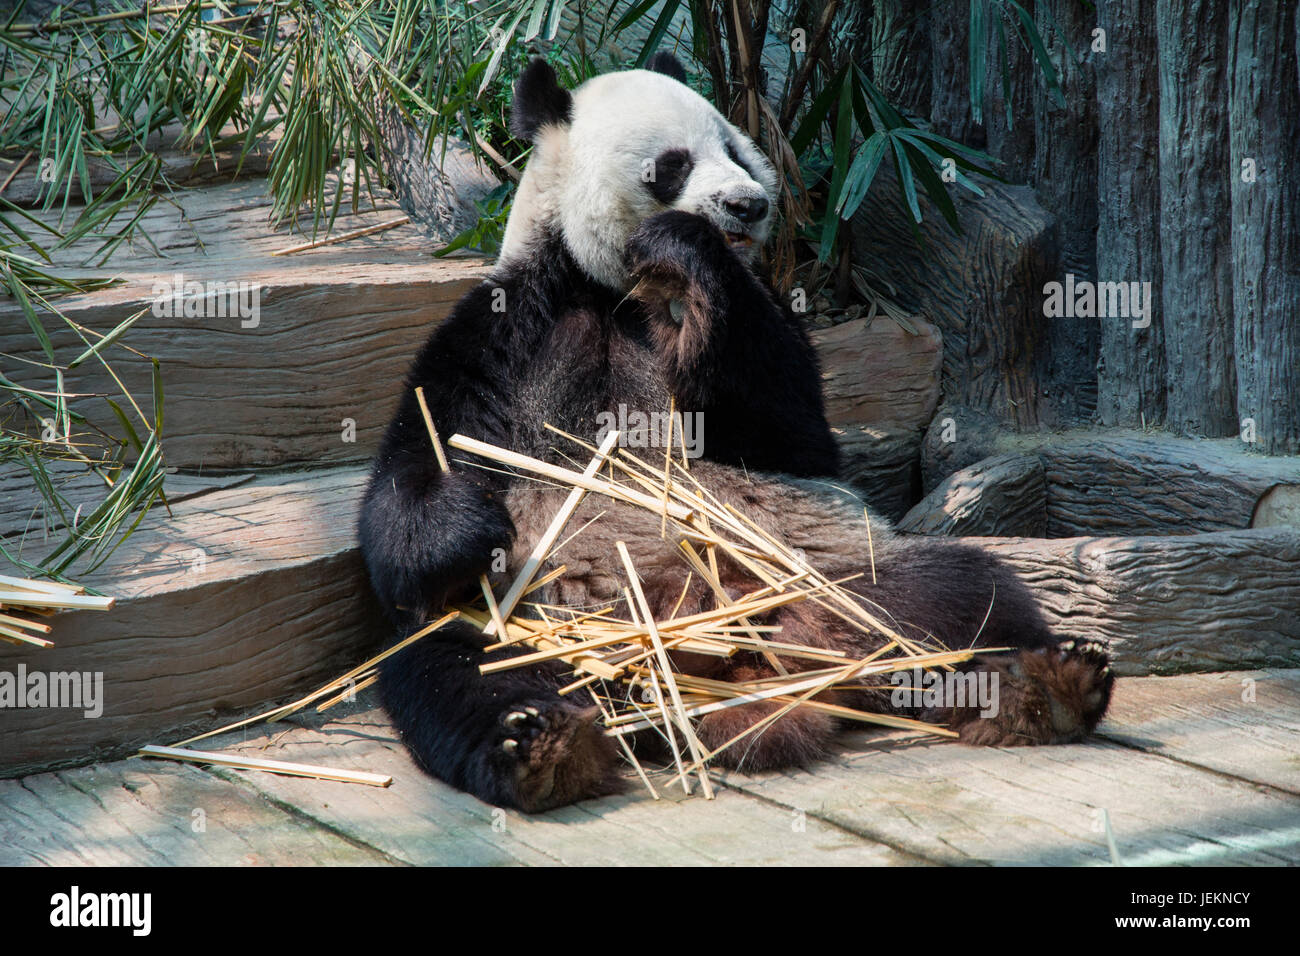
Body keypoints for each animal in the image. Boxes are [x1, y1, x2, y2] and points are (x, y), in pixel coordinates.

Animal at [359, 54, 1115, 813]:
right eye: (673, 162)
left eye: (737, 149)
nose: (748, 204)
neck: (614, 291)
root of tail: (735, 666)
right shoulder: (504, 329)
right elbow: (411, 479)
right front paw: (469, 522)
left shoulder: (757, 318)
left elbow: (788, 430)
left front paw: (690, 251)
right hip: (546, 621)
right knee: (457, 667)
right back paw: (543, 746)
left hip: (835, 575)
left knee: (961, 592)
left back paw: (1043, 689)